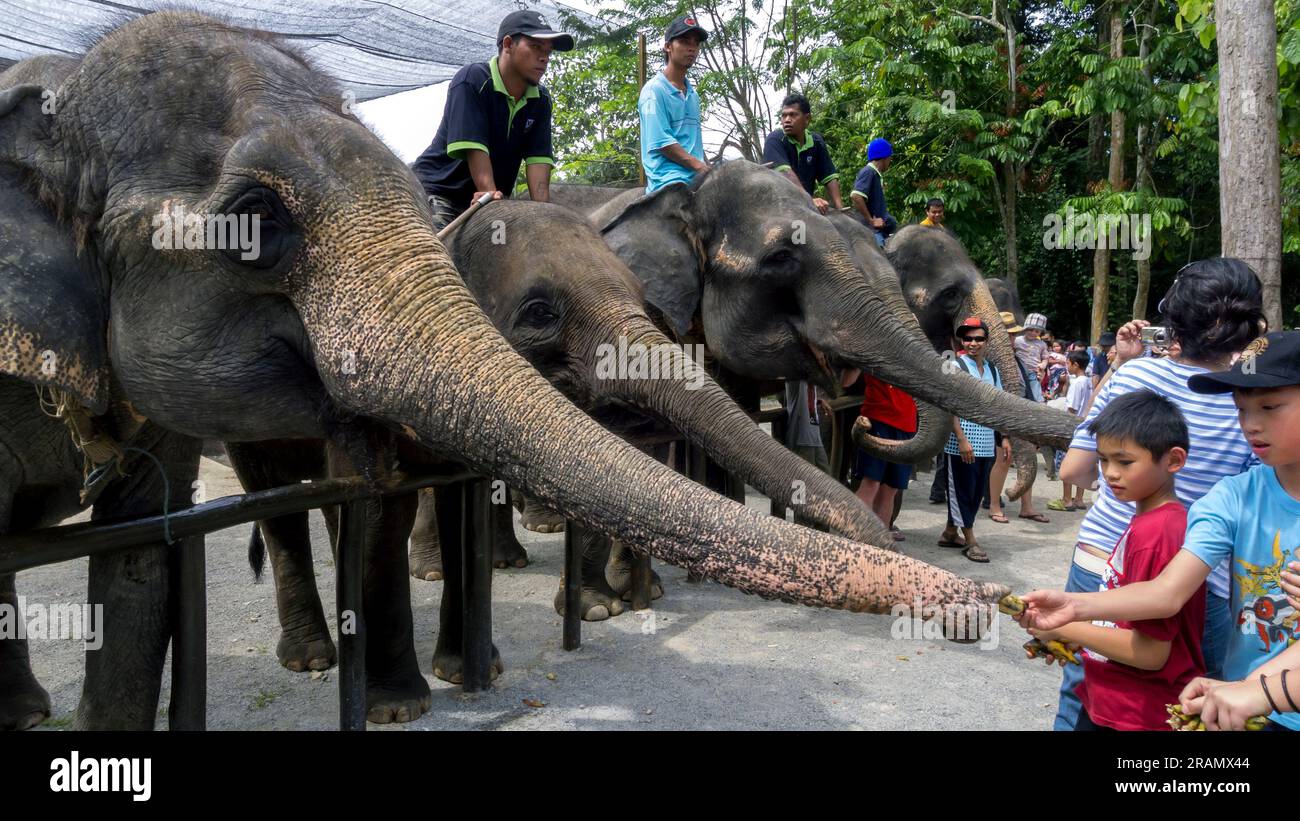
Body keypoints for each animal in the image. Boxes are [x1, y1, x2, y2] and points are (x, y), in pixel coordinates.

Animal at [0, 12, 1007, 729]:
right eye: (784, 260)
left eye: (639, 301)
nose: (980, 608)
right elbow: (388, 498)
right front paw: (414, 698)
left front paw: (546, 637)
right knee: (277, 498)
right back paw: (314, 657)